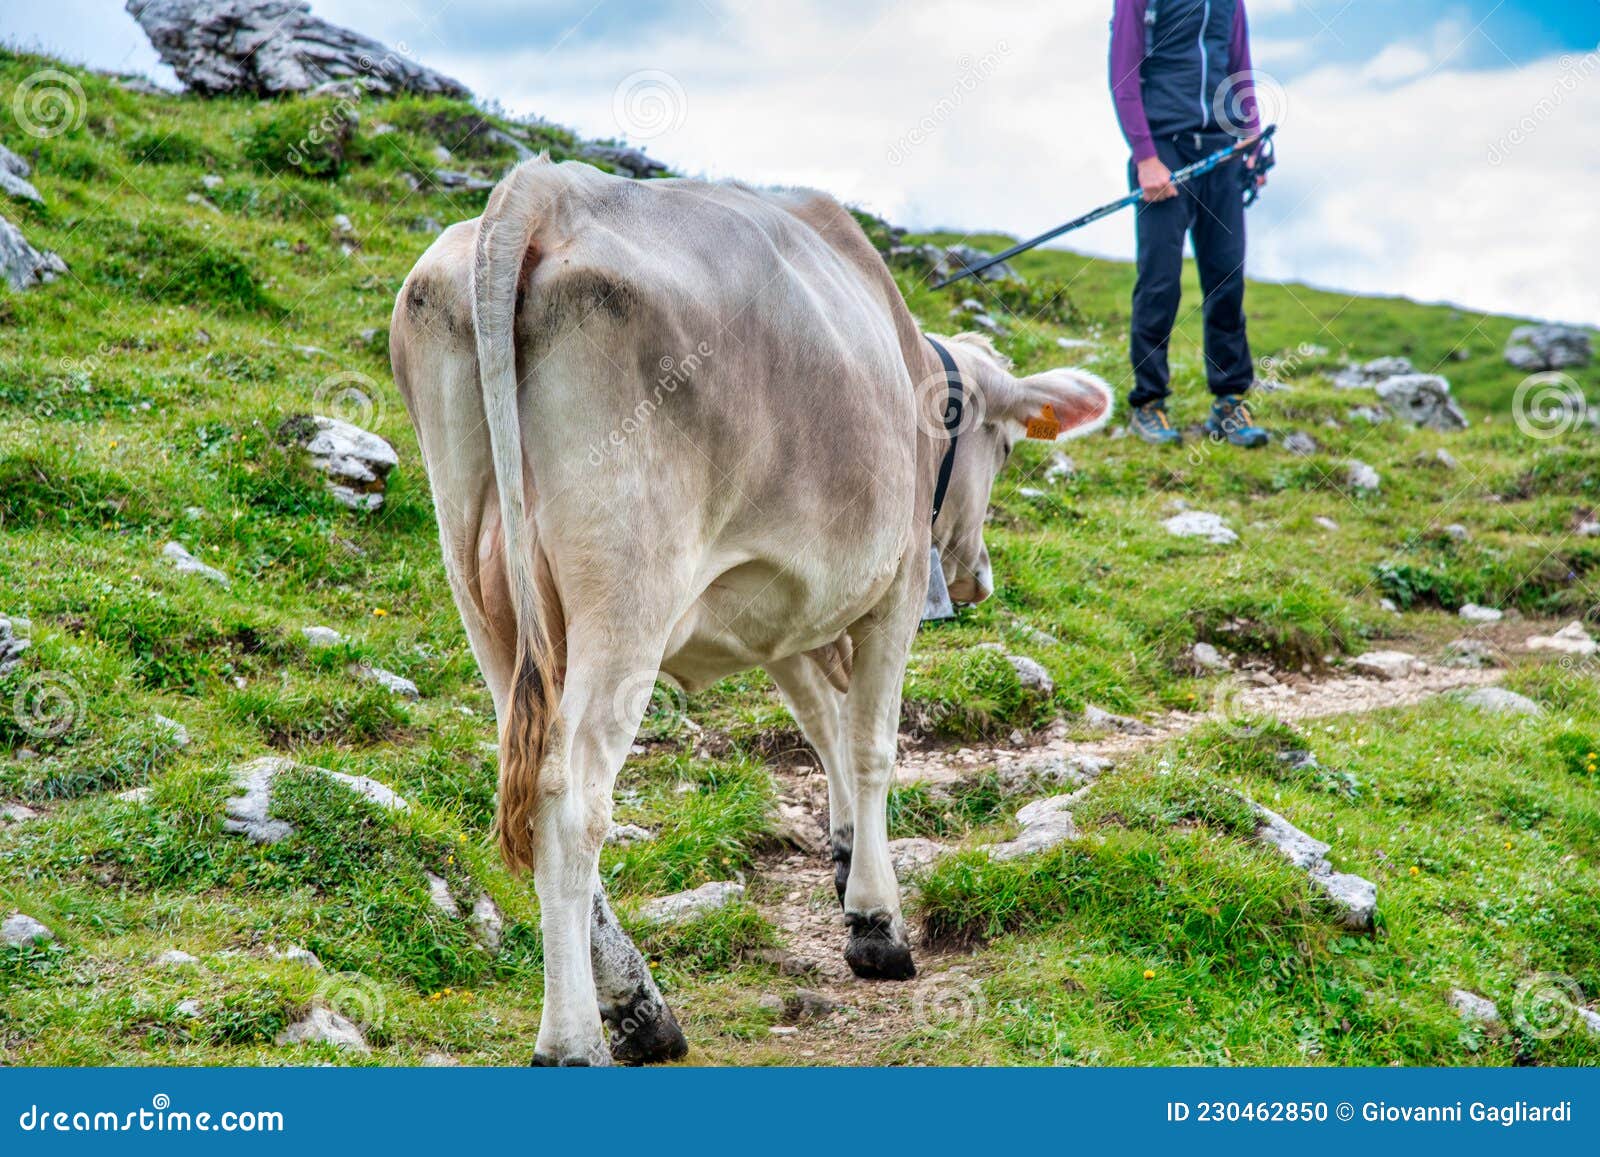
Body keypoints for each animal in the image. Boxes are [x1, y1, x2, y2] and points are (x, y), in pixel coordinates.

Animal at [390, 156, 1113, 1065]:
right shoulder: (896, 584)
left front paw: (846, 857)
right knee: (568, 797)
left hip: (485, 585)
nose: (977, 576)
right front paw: (876, 920)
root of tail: (549, 191)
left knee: (526, 765)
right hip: (627, 588)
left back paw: (640, 1007)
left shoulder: (784, 610)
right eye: (1008, 444)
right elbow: (870, 745)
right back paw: (574, 1039)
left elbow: (824, 729)